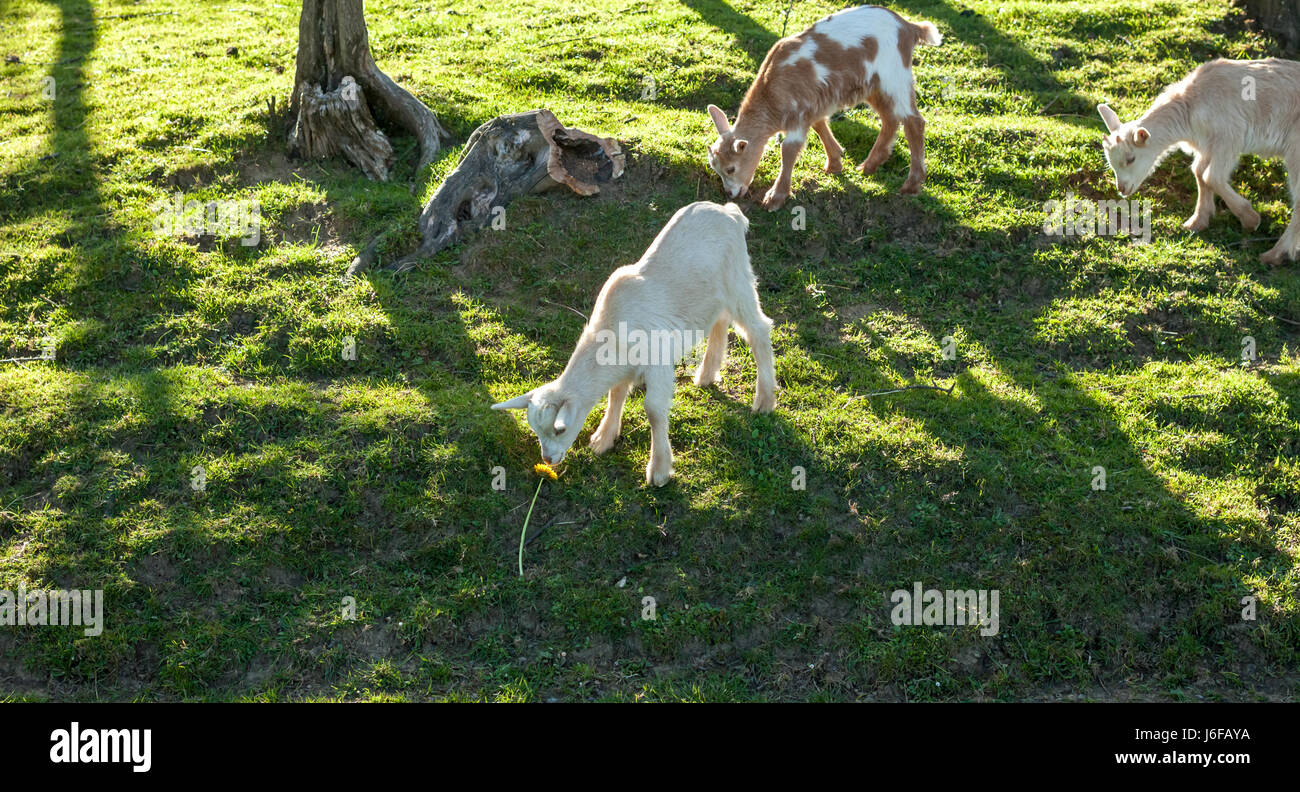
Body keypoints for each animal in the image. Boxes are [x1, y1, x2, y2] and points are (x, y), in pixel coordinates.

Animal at [491, 201, 777, 486]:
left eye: (559, 430)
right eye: (536, 429)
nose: (548, 459)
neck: (610, 334)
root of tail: (729, 211)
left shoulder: (658, 358)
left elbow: (653, 410)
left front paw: (659, 469)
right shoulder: (623, 365)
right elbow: (616, 393)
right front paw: (603, 438)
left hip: (738, 280)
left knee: (758, 330)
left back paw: (764, 400)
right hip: (711, 297)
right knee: (720, 321)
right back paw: (707, 375)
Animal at [706, 4, 942, 210]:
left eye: (731, 168)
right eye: (716, 169)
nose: (730, 194)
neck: (772, 92)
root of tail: (907, 26)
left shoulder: (798, 114)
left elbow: (788, 150)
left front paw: (776, 197)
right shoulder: (812, 104)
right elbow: (819, 124)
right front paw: (835, 163)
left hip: (894, 76)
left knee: (914, 122)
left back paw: (912, 185)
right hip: (873, 85)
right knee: (889, 118)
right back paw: (869, 166)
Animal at [1098, 57, 1300, 266]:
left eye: (1131, 159)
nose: (1122, 189)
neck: (1190, 107)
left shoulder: (1229, 136)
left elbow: (1211, 176)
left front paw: (1250, 219)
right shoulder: (1208, 145)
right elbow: (1198, 172)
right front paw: (1197, 221)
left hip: (1295, 147)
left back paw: (1276, 254)